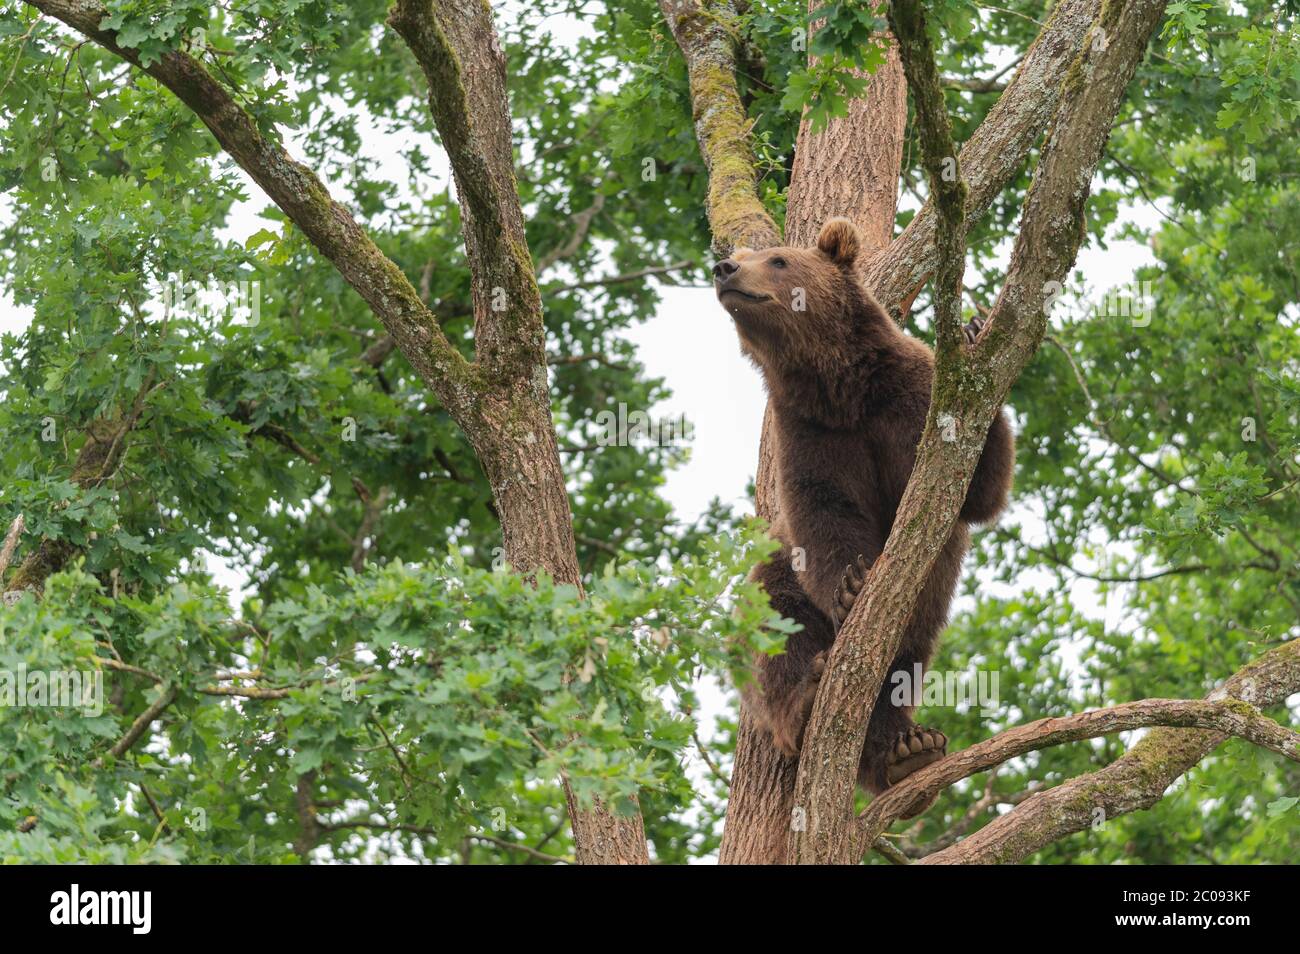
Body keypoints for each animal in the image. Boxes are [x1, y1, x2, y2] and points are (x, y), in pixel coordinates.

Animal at [714, 217, 1014, 808]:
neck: (839, 384)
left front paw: (973, 332)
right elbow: (823, 512)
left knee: (900, 669)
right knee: (779, 639)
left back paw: (907, 749)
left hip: (924, 616)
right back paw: (809, 704)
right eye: (759, 256)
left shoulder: (911, 398)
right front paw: (852, 584)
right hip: (772, 587)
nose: (725, 268)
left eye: (778, 259)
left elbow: (980, 490)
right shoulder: (808, 431)